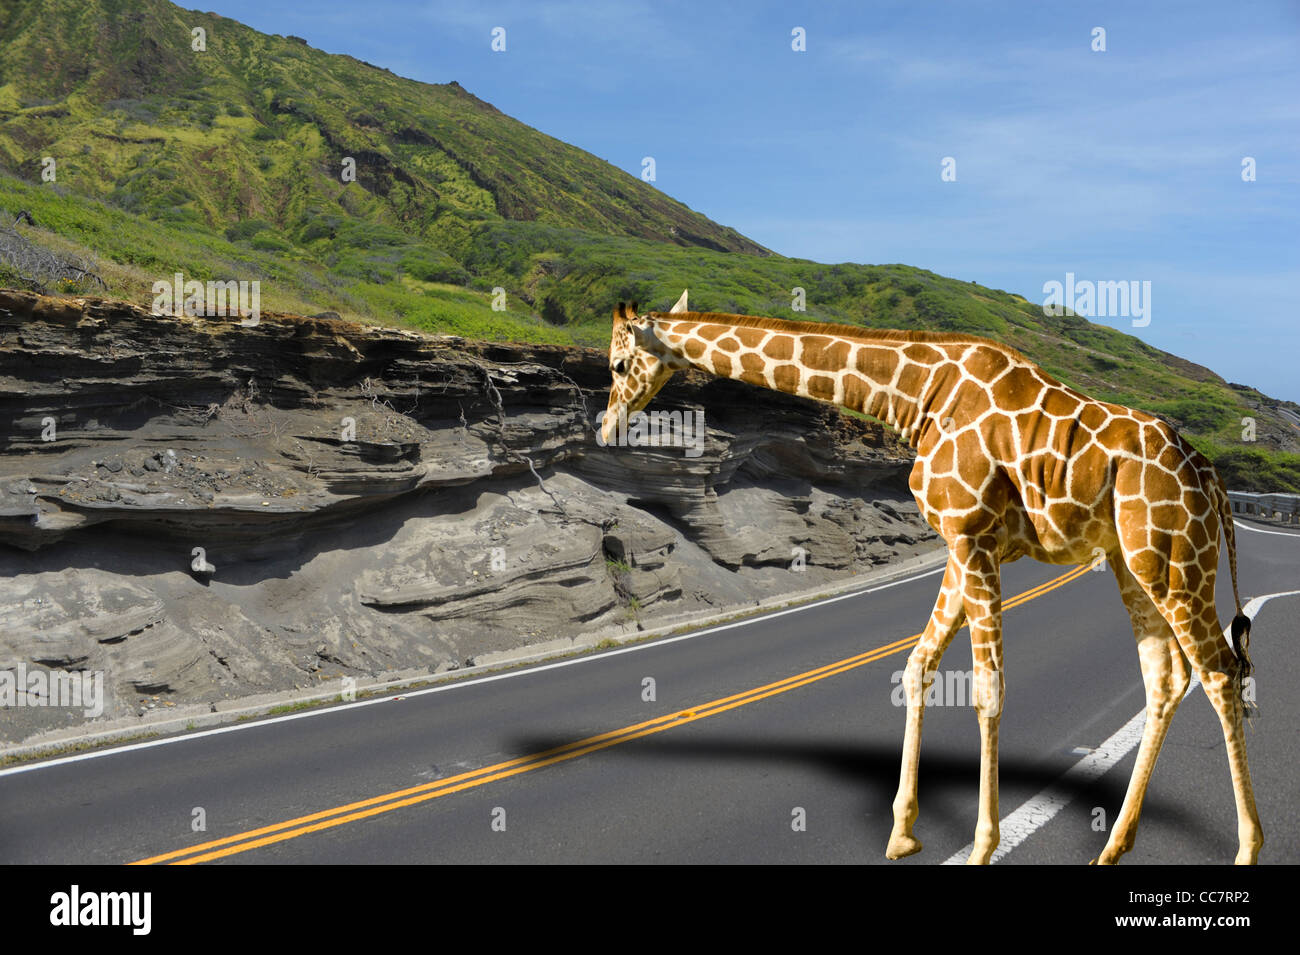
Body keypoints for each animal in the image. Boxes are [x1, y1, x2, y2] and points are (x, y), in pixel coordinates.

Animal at [601, 291, 1261, 865]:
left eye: (617, 363)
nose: (607, 429)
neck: (916, 394)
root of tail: (1213, 479)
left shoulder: (973, 539)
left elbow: (987, 688)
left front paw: (981, 847)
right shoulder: (963, 545)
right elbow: (918, 665)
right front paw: (901, 833)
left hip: (1173, 561)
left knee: (1220, 672)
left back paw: (1247, 848)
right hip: (1135, 562)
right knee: (1167, 678)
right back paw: (1113, 847)